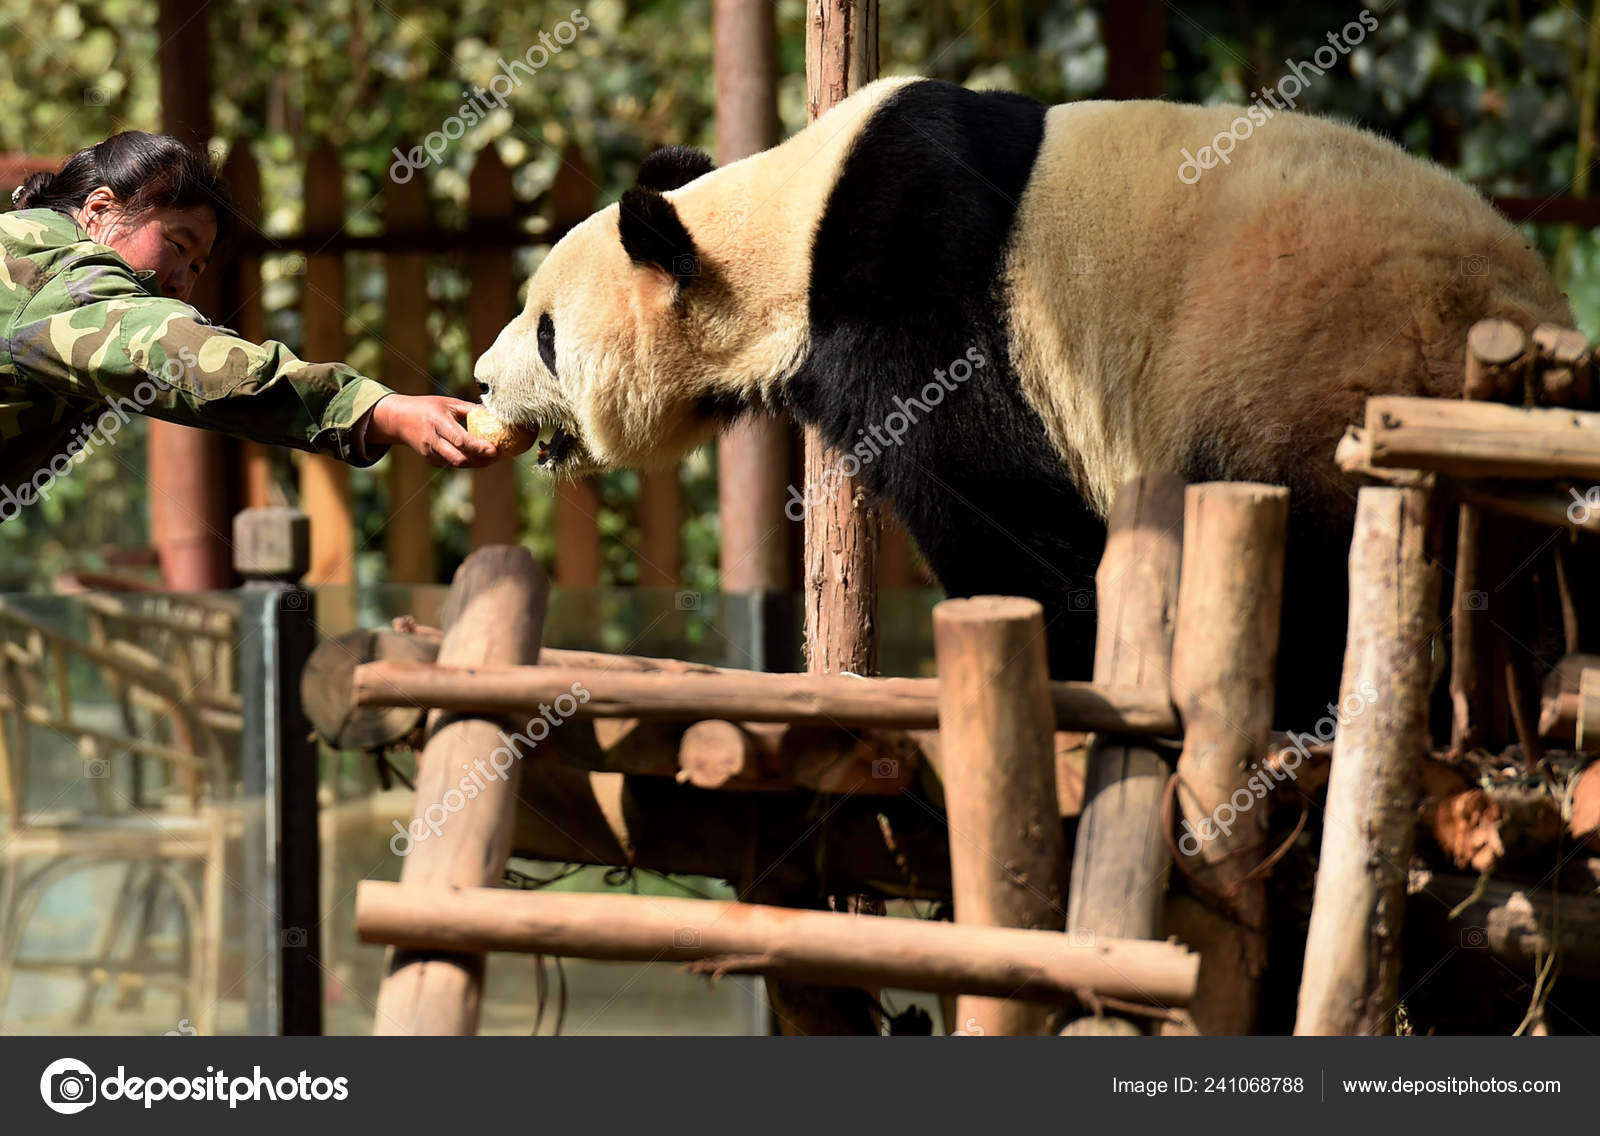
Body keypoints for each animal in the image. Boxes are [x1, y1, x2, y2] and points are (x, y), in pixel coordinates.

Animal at [474, 76, 1571, 726]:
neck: (783, 231)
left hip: (1303, 369)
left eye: (546, 332)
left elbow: (997, 499)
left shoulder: (912, 284)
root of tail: (1525, 326)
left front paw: (1065, 655)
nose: (480, 381)